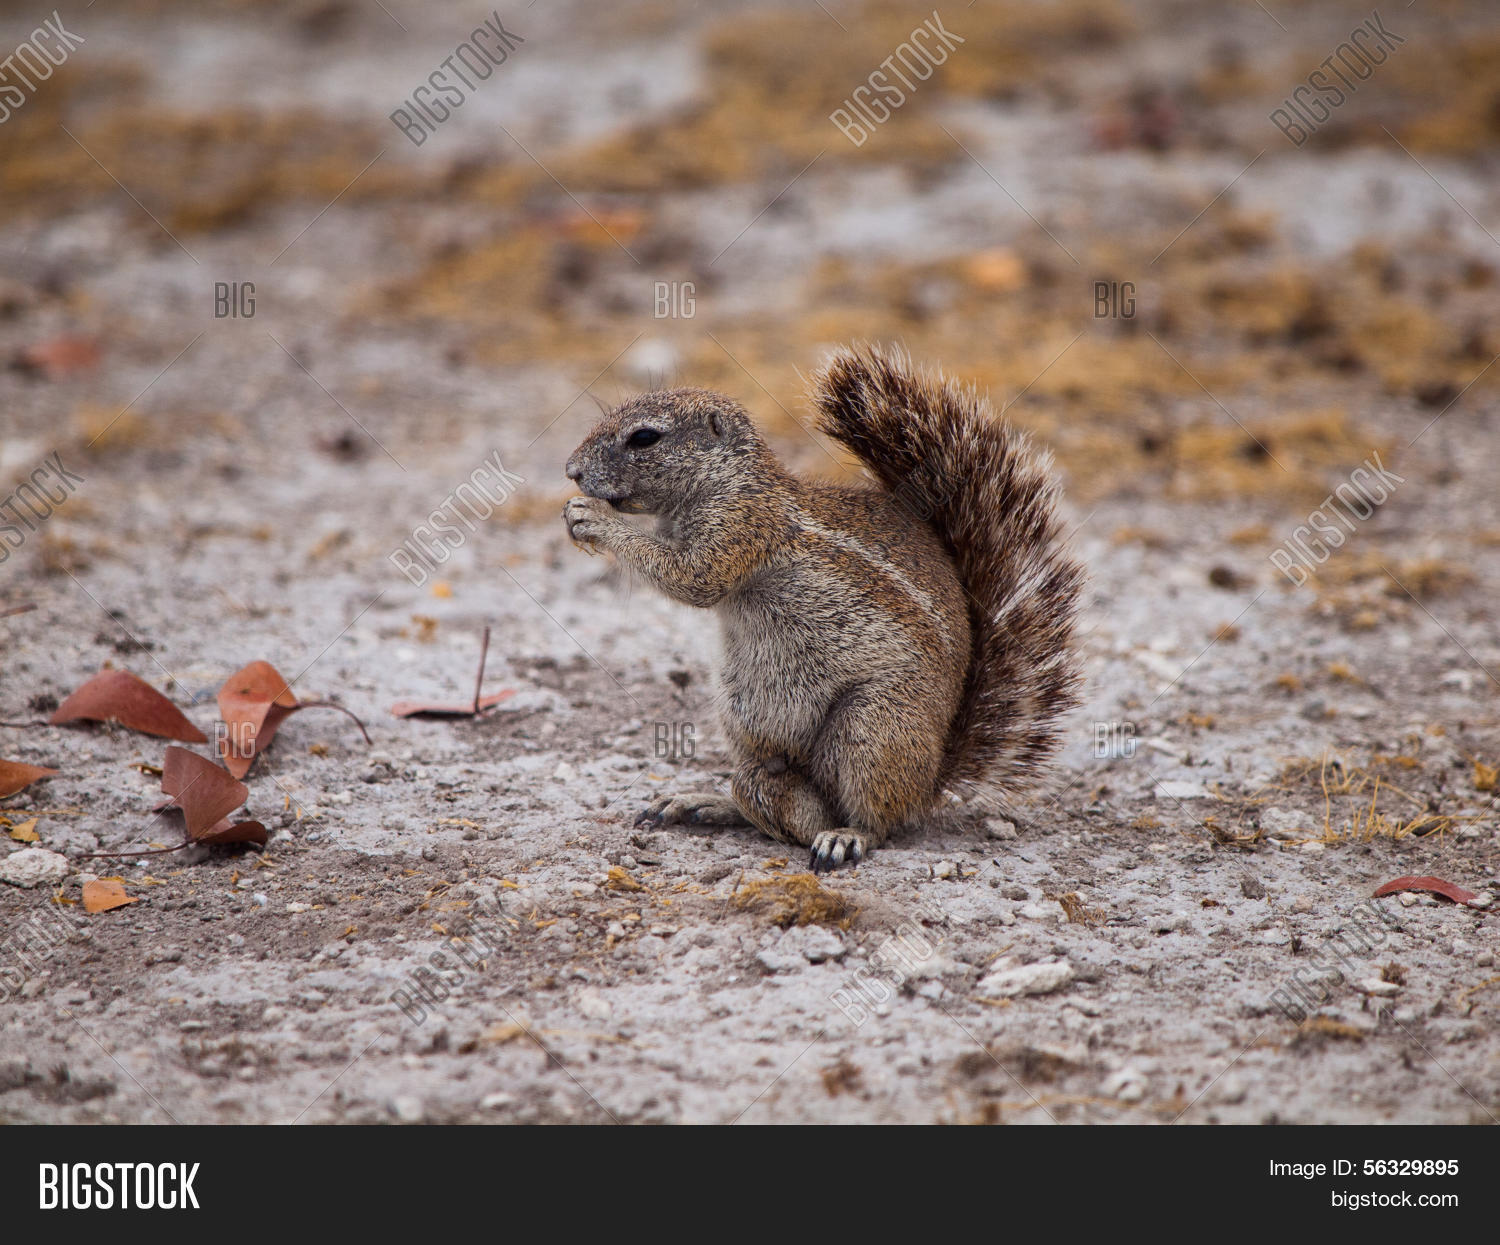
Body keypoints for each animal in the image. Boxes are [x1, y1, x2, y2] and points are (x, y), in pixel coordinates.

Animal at [563, 344, 1084, 873]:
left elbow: (692, 577)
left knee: (877, 820)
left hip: (875, 725)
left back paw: (845, 836)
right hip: (742, 721)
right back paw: (707, 802)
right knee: (778, 801)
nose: (572, 471)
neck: (727, 481)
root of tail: (932, 778)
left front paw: (593, 517)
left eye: (644, 438)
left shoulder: (742, 527)